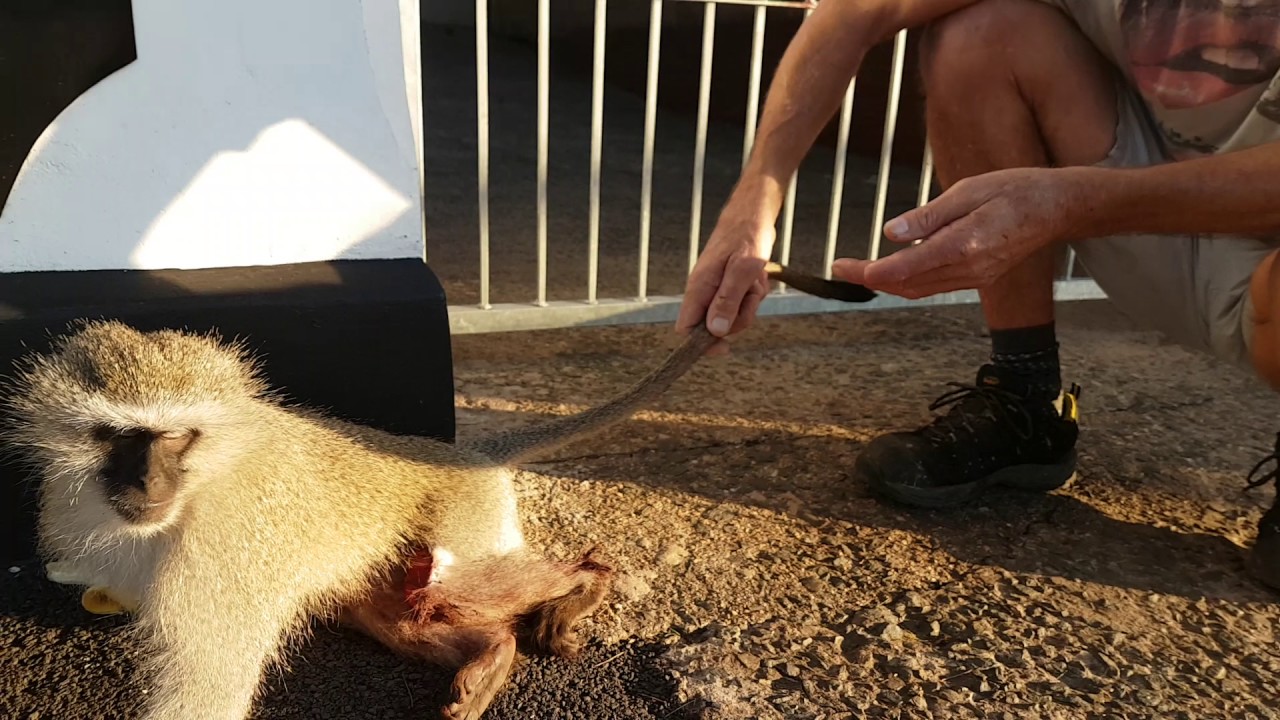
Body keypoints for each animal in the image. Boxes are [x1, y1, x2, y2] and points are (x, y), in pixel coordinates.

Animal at [0, 264, 874, 720]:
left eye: (178, 437)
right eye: (117, 436)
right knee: (406, 610)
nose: (145, 480)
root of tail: (463, 454)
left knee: (485, 579)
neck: (196, 492)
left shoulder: (225, 561)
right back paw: (492, 656)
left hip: (471, 522)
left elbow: (208, 685)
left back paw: (582, 583)